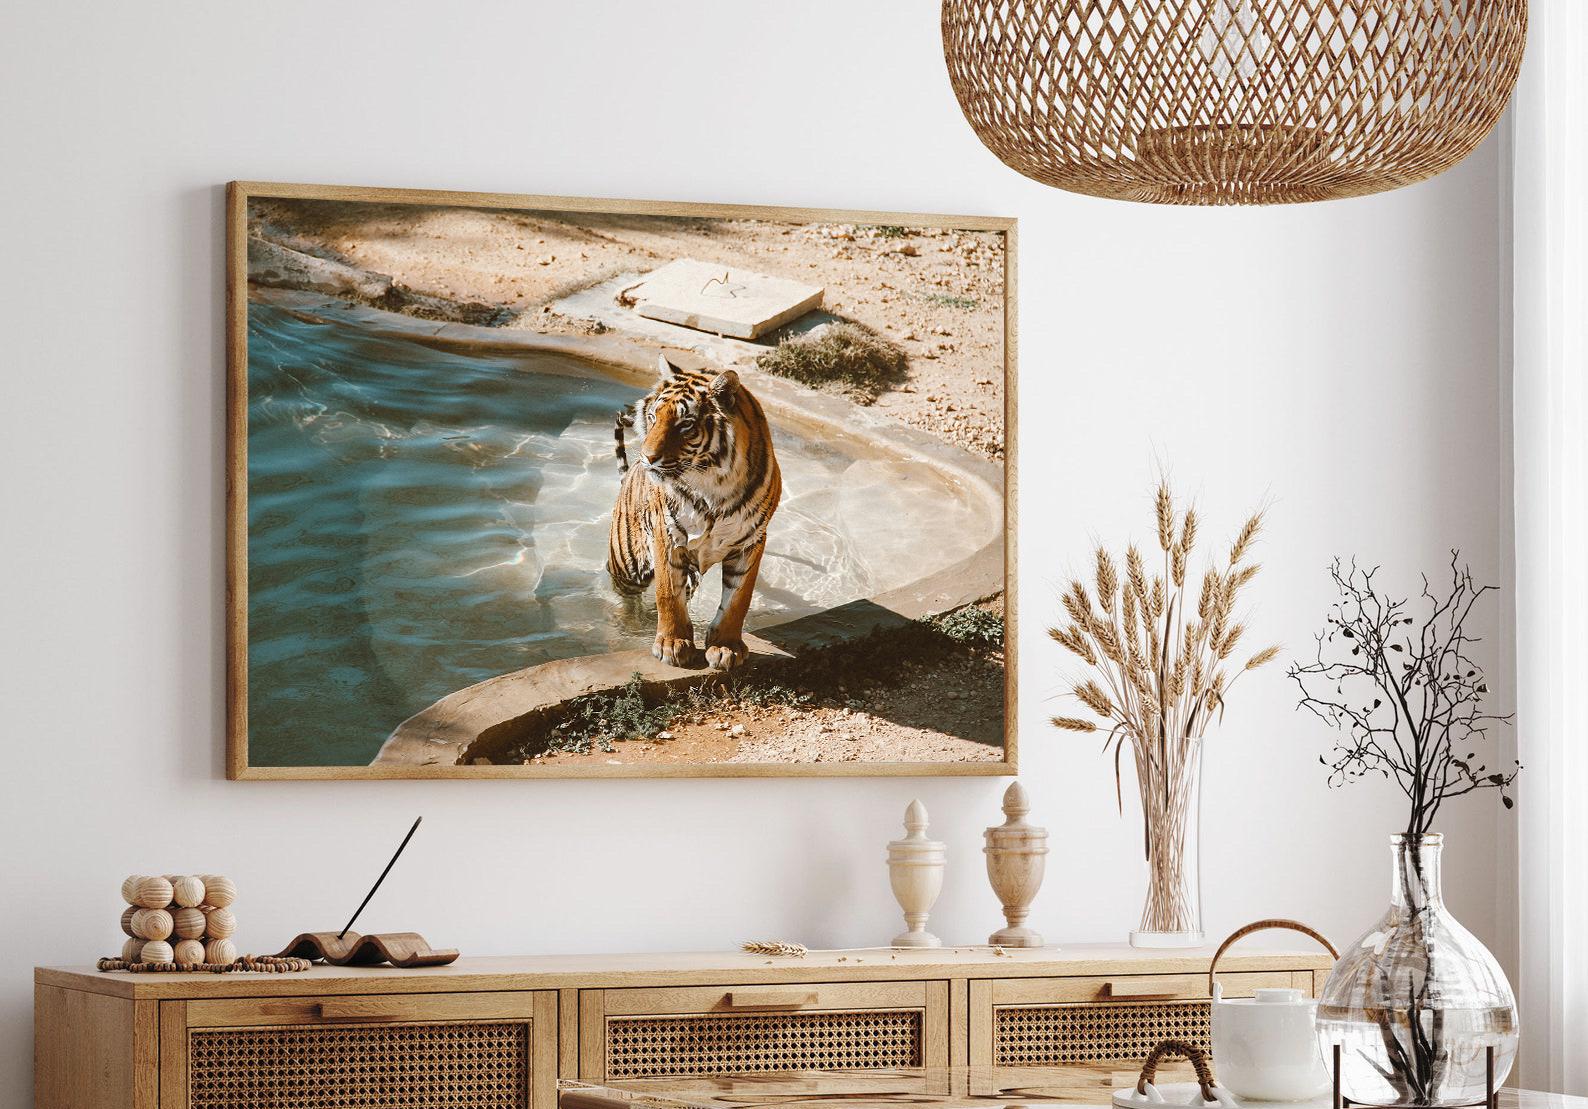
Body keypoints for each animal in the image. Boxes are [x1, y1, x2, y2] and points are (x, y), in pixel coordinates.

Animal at [607, 353, 781, 671]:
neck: (714, 485)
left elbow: (738, 599)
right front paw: (672, 644)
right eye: (653, 417)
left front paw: (725, 646)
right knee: (626, 596)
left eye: (685, 424)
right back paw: (628, 623)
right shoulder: (667, 535)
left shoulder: (751, 541)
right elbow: (667, 594)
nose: (647, 457)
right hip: (627, 565)